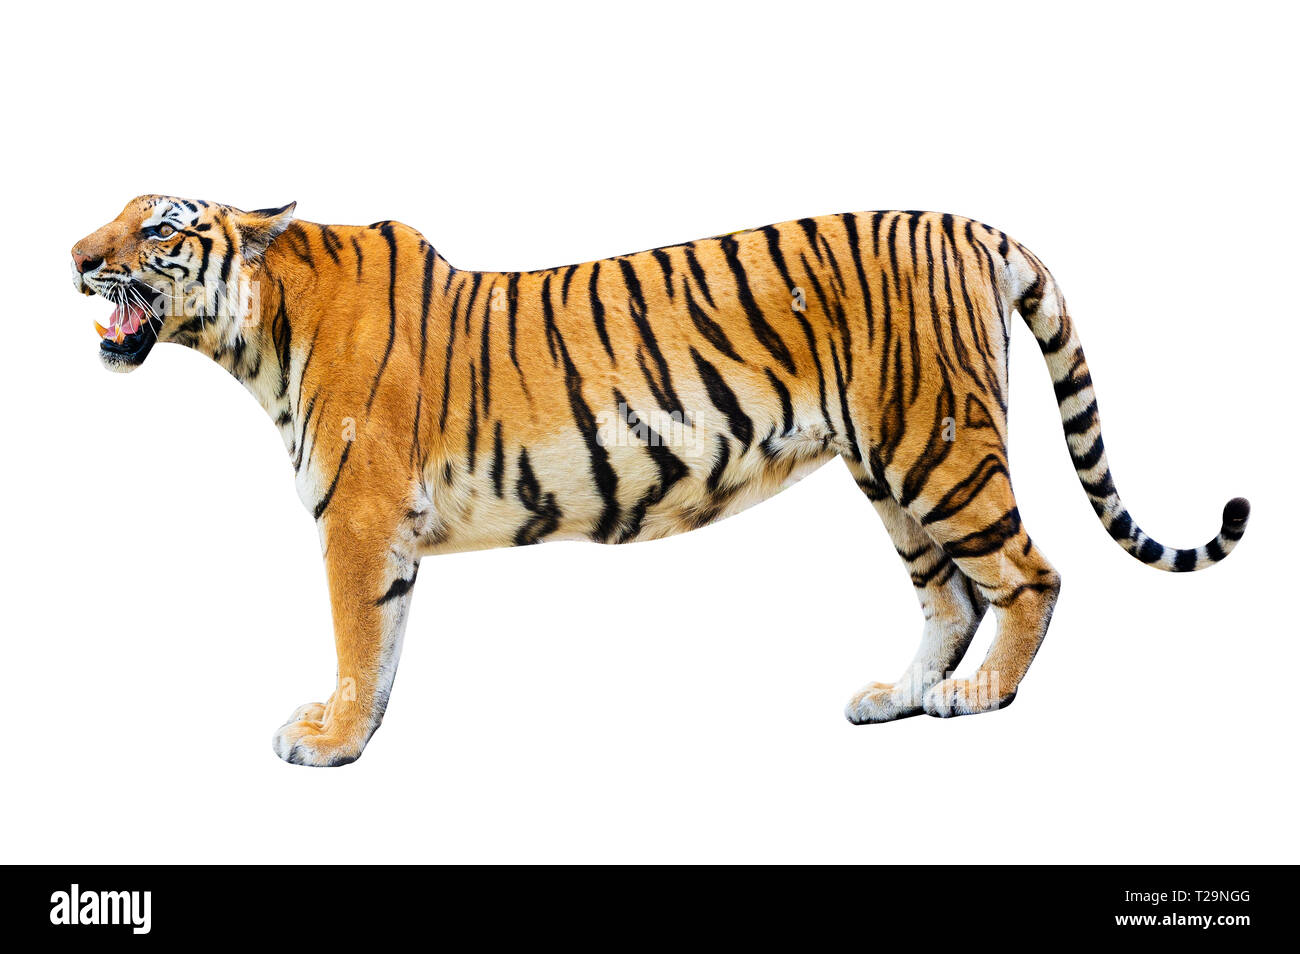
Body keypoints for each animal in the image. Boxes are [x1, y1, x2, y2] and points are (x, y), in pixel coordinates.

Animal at [71, 196, 1250, 766]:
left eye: (158, 225)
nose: (77, 257)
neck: (257, 329)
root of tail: (970, 224)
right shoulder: (381, 533)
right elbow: (382, 646)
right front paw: (345, 731)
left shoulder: (356, 520)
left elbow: (360, 642)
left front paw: (328, 742)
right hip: (887, 466)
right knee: (951, 594)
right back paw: (899, 696)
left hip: (938, 448)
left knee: (1031, 575)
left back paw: (977, 697)